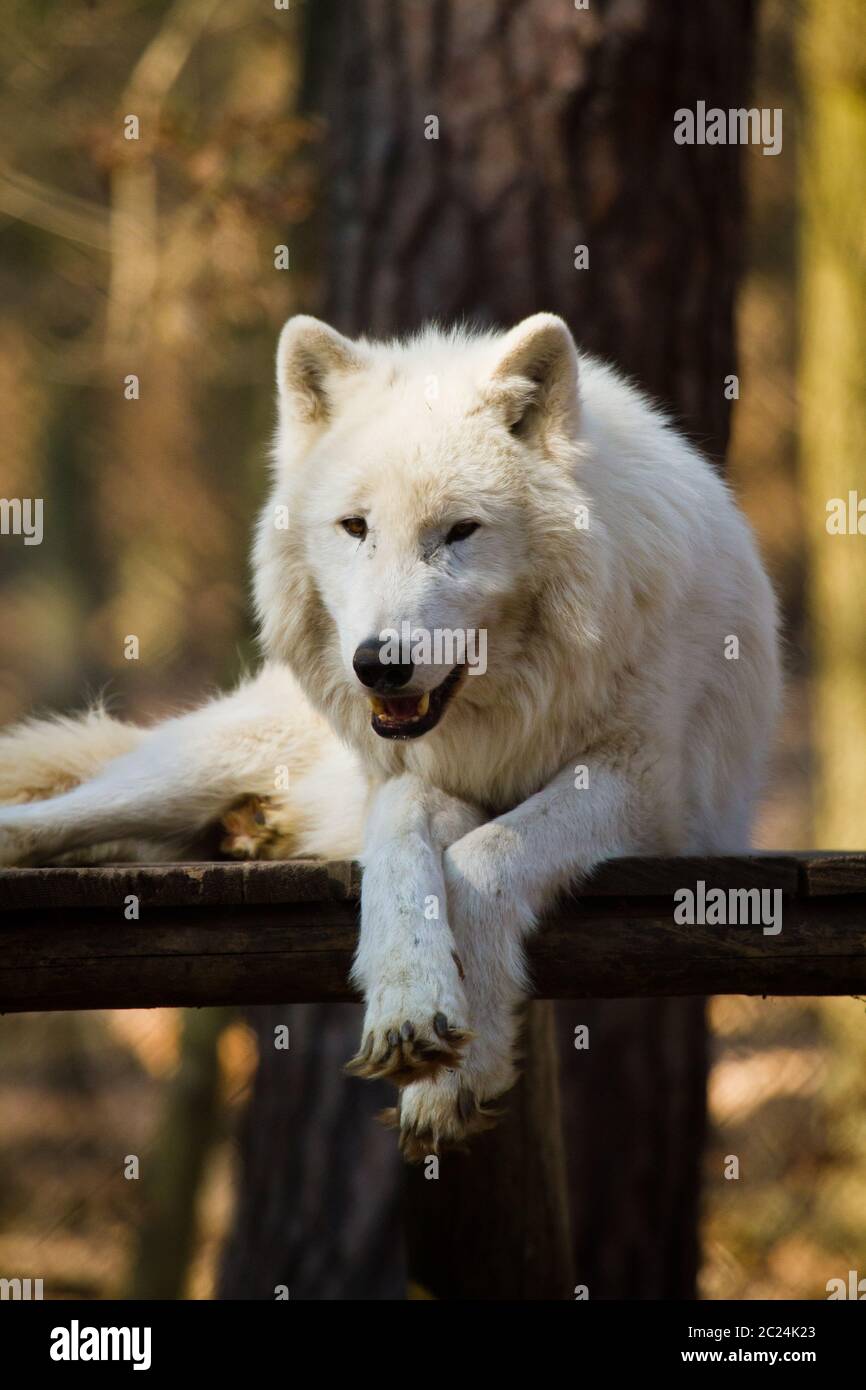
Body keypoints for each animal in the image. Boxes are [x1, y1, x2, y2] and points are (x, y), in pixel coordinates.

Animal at [0, 313, 780, 1158]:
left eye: (461, 531)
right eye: (356, 528)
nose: (378, 664)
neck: (509, 710)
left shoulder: (652, 793)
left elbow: (484, 858)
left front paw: (457, 1073)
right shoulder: (413, 779)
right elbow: (404, 839)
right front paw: (410, 1002)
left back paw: (258, 830)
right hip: (197, 770)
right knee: (64, 814)